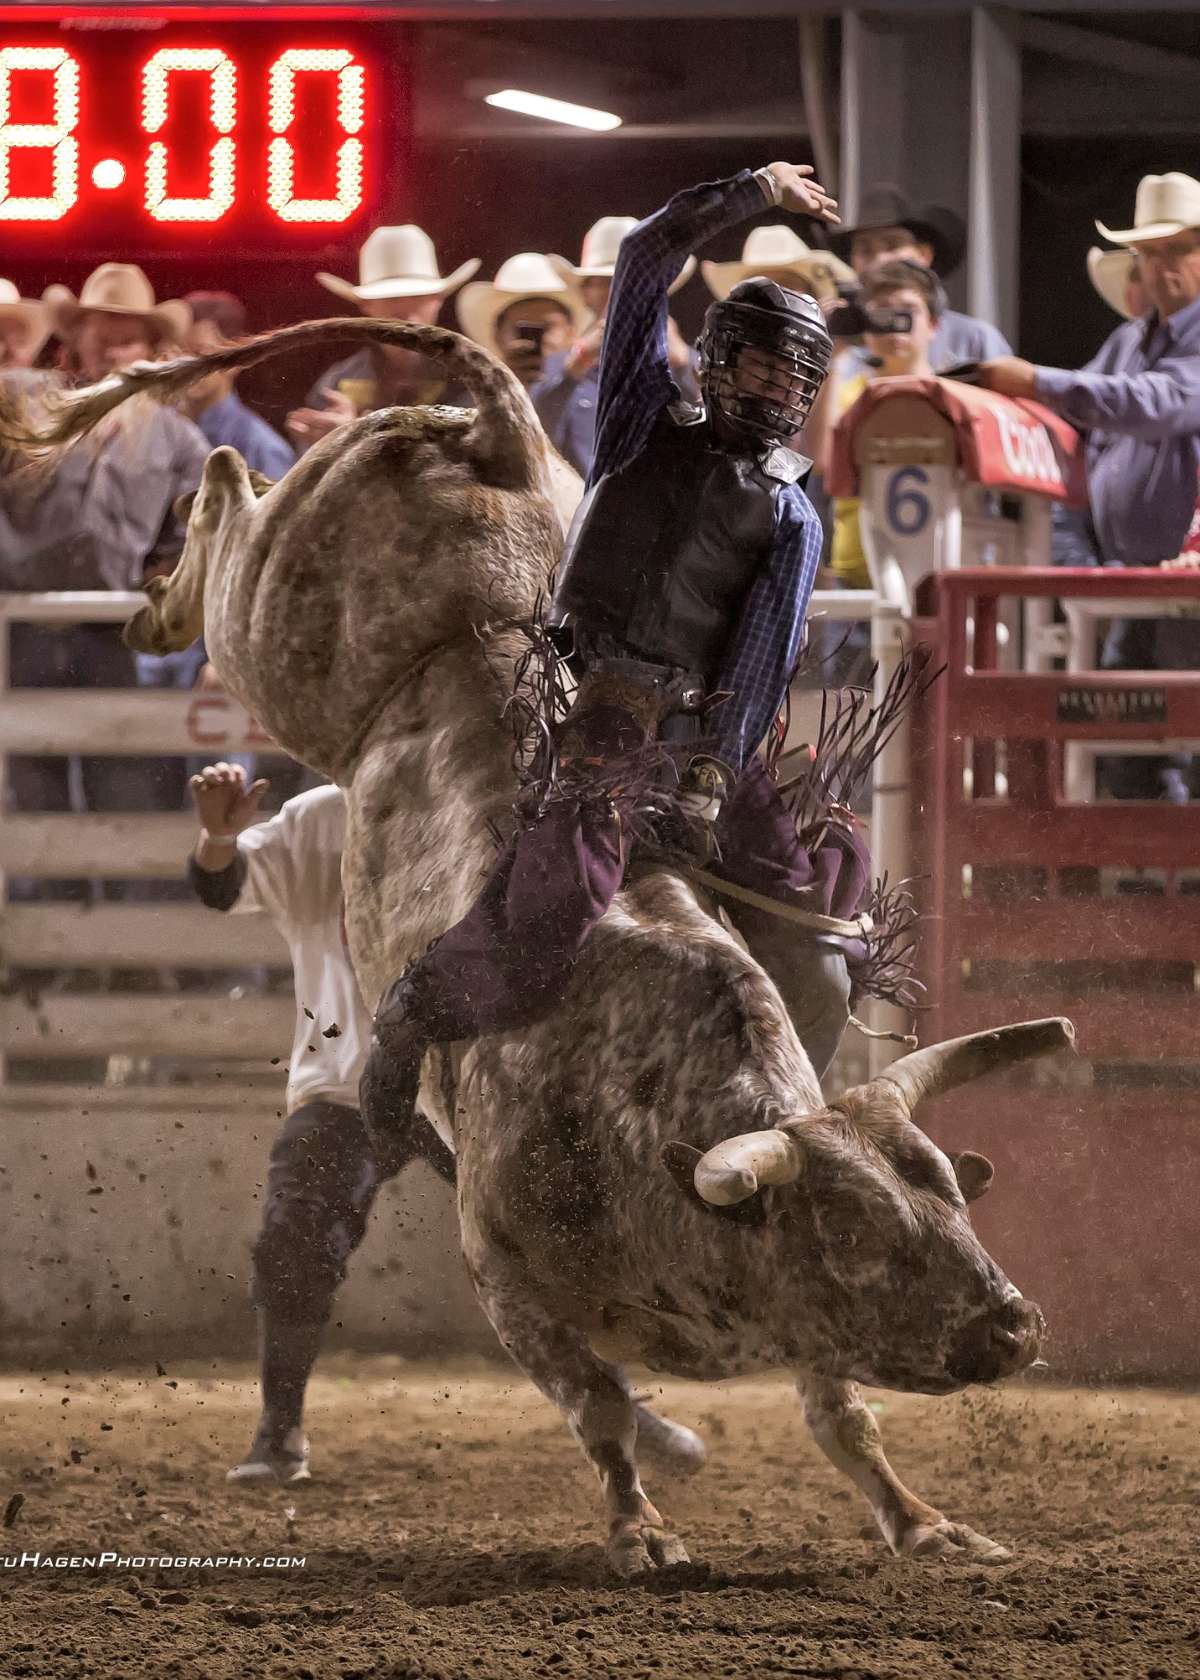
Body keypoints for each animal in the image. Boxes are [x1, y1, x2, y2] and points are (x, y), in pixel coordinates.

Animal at [1, 321, 1067, 1575]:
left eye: (950, 1190)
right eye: (856, 1233)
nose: (1015, 1324)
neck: (652, 1126)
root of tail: (505, 435)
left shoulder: (797, 1323)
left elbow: (837, 1409)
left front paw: (919, 1520)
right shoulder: (506, 1280)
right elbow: (596, 1403)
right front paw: (640, 1528)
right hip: (278, 626)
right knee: (227, 505)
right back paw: (161, 594)